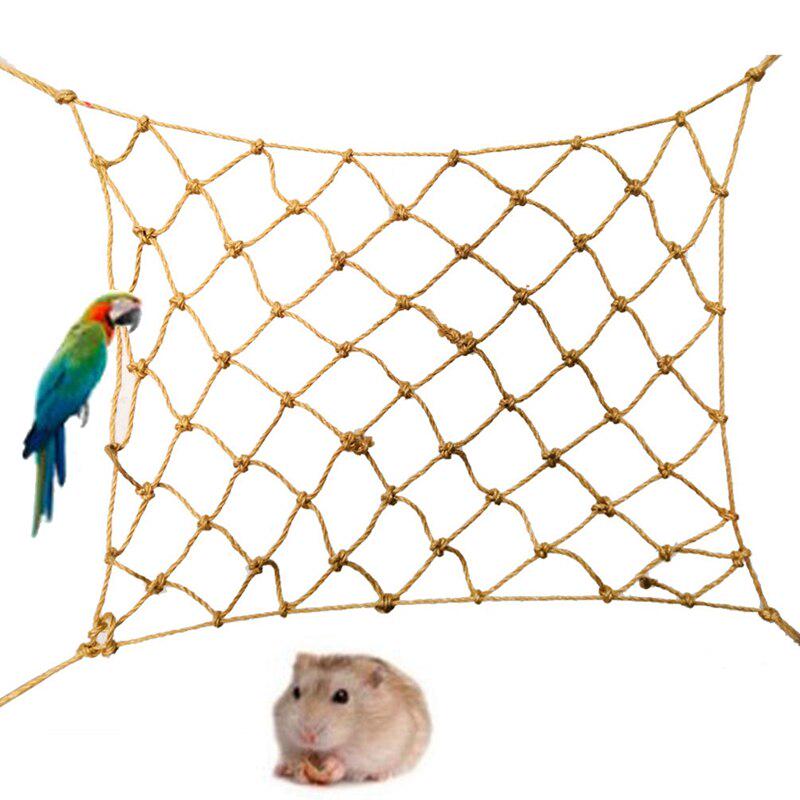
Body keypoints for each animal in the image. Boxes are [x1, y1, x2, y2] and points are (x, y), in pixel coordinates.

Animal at [273, 653, 431, 784]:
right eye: (295, 692)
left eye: (342, 696)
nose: (307, 737)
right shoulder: (287, 740)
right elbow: (295, 754)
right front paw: (298, 768)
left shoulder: (375, 748)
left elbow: (348, 761)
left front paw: (332, 765)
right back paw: (280, 769)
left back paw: (380, 775)